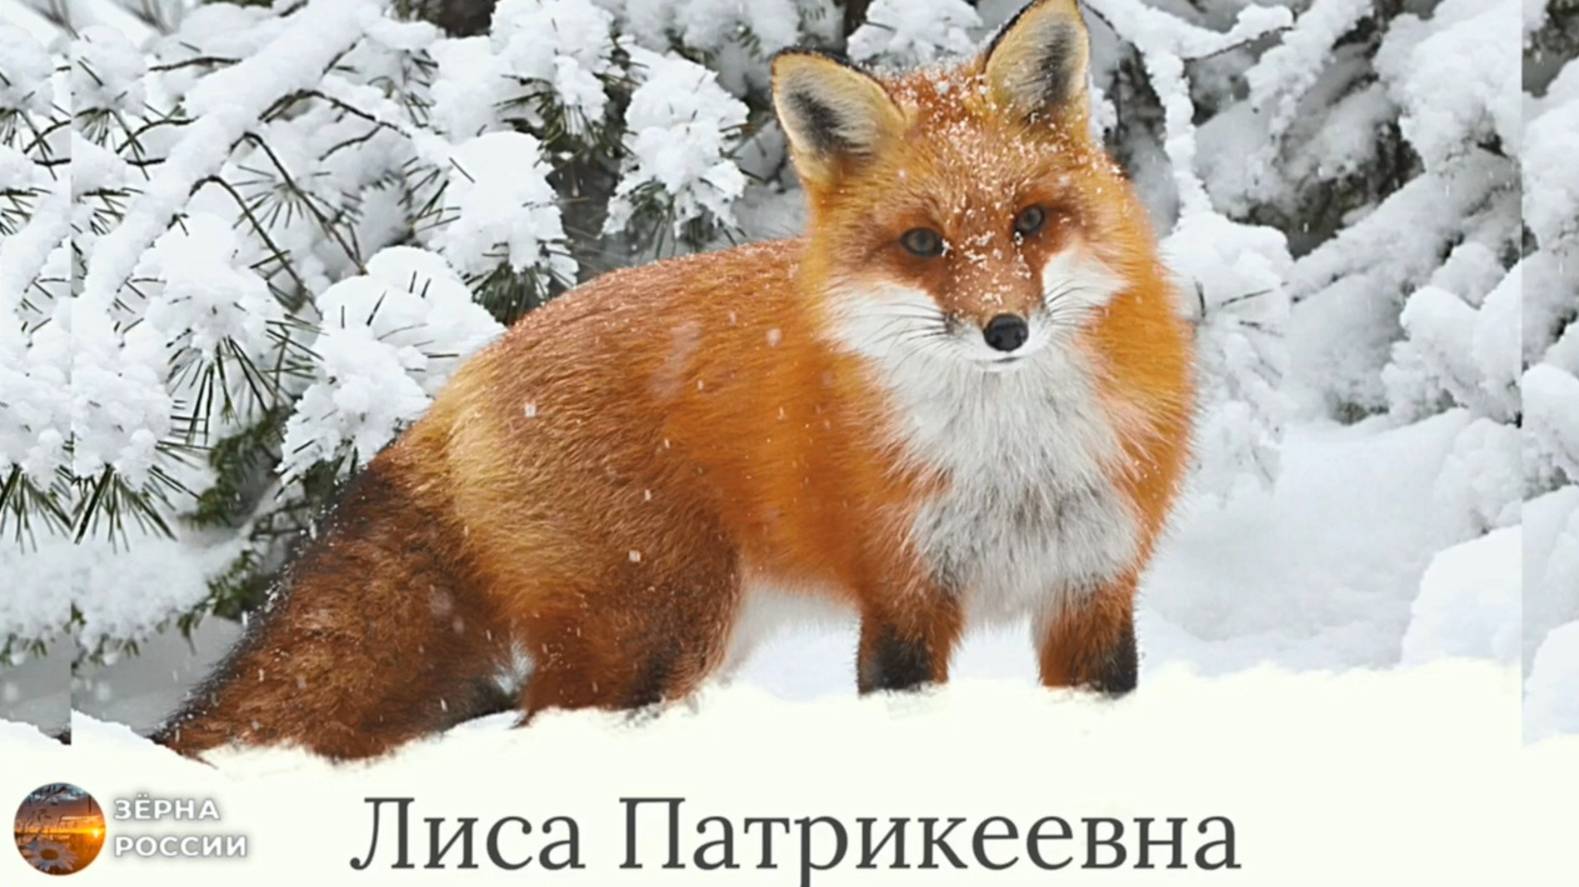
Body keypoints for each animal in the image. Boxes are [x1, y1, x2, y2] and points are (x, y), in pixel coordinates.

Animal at [153, 0, 1194, 761]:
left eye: (1030, 222)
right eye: (923, 244)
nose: (1004, 329)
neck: (1012, 456)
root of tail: (469, 373)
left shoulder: (1092, 592)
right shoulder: (902, 597)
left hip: (695, 643)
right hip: (647, 643)